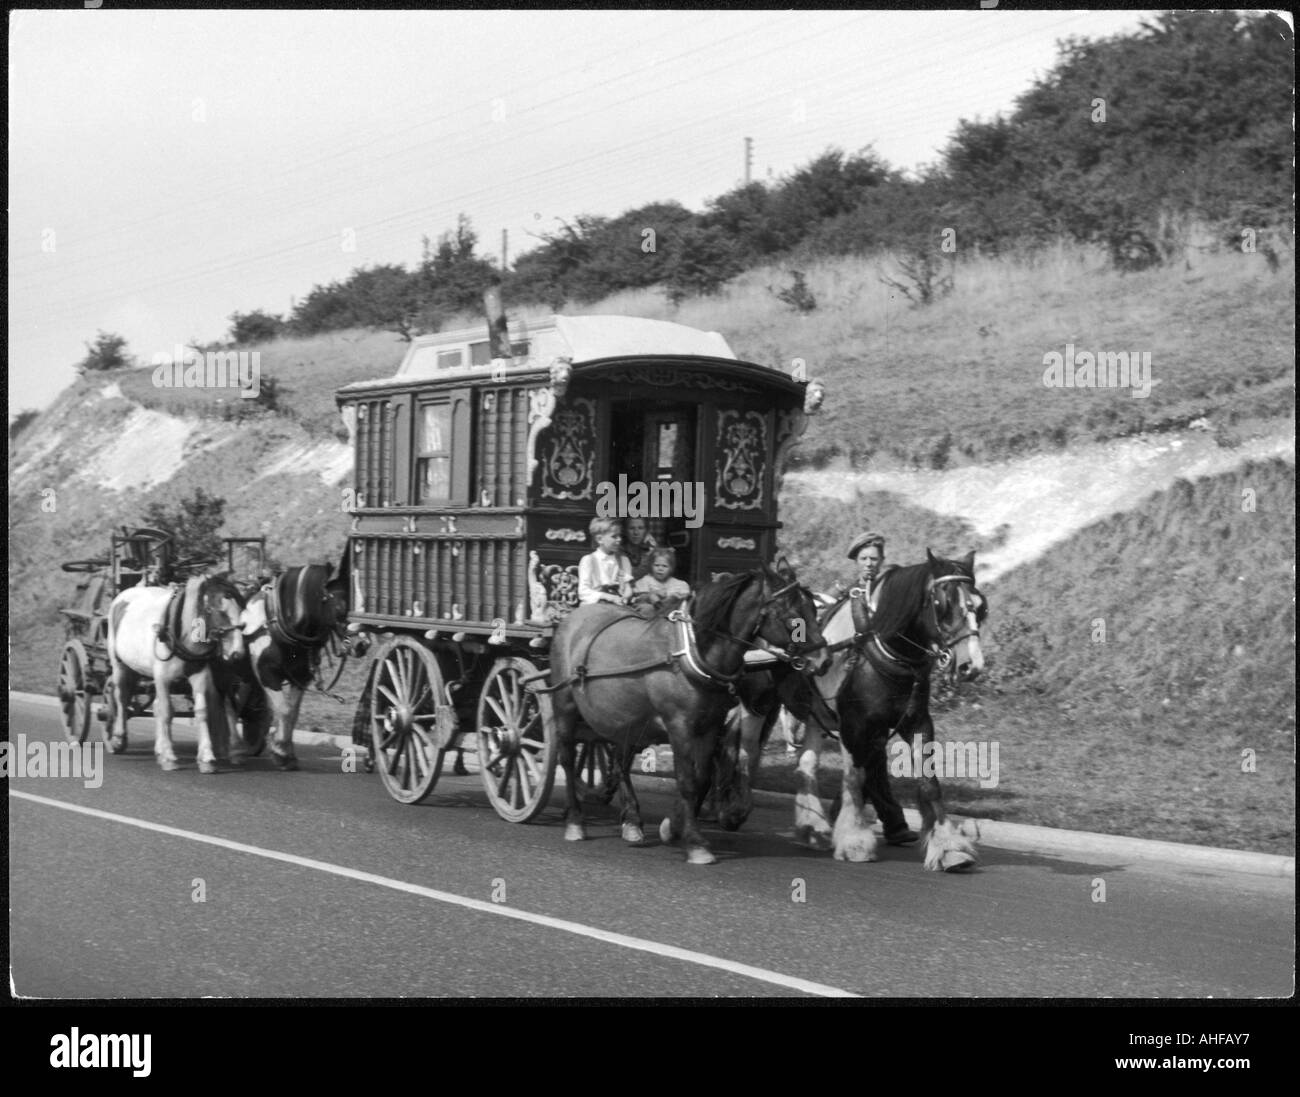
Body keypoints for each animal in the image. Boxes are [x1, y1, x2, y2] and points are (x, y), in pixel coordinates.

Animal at [106, 574, 248, 769]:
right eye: (213, 610)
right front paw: (168, 756)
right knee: (121, 698)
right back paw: (118, 738)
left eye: (241, 609)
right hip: (120, 665)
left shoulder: (200, 675)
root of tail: (124, 594)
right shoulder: (162, 677)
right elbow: (167, 711)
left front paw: (205, 757)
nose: (237, 652)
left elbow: (202, 710)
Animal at [546, 566, 826, 863]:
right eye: (793, 616)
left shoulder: (710, 725)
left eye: (814, 609)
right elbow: (688, 781)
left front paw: (674, 828)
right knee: (566, 757)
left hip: (627, 720)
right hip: (565, 706)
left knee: (620, 763)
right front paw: (695, 842)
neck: (692, 651)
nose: (823, 660)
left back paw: (632, 821)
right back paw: (575, 821)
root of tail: (572, 618)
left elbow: (701, 778)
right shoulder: (679, 725)